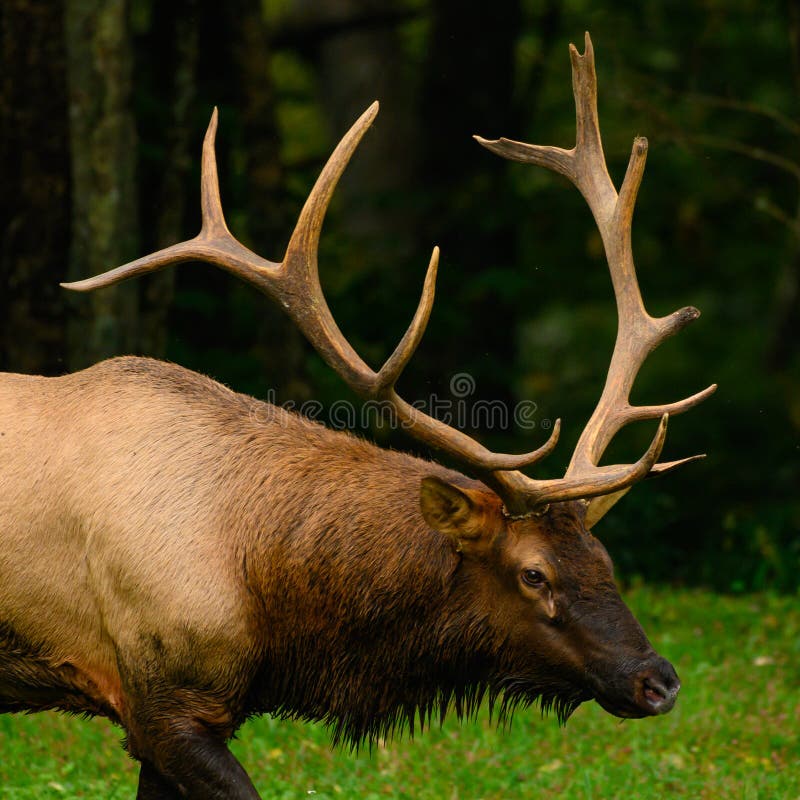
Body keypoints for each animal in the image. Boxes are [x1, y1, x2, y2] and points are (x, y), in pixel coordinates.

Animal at [0, 34, 714, 799]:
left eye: (602, 558)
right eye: (533, 574)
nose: (658, 681)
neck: (270, 602)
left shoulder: (189, 712)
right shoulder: (161, 700)